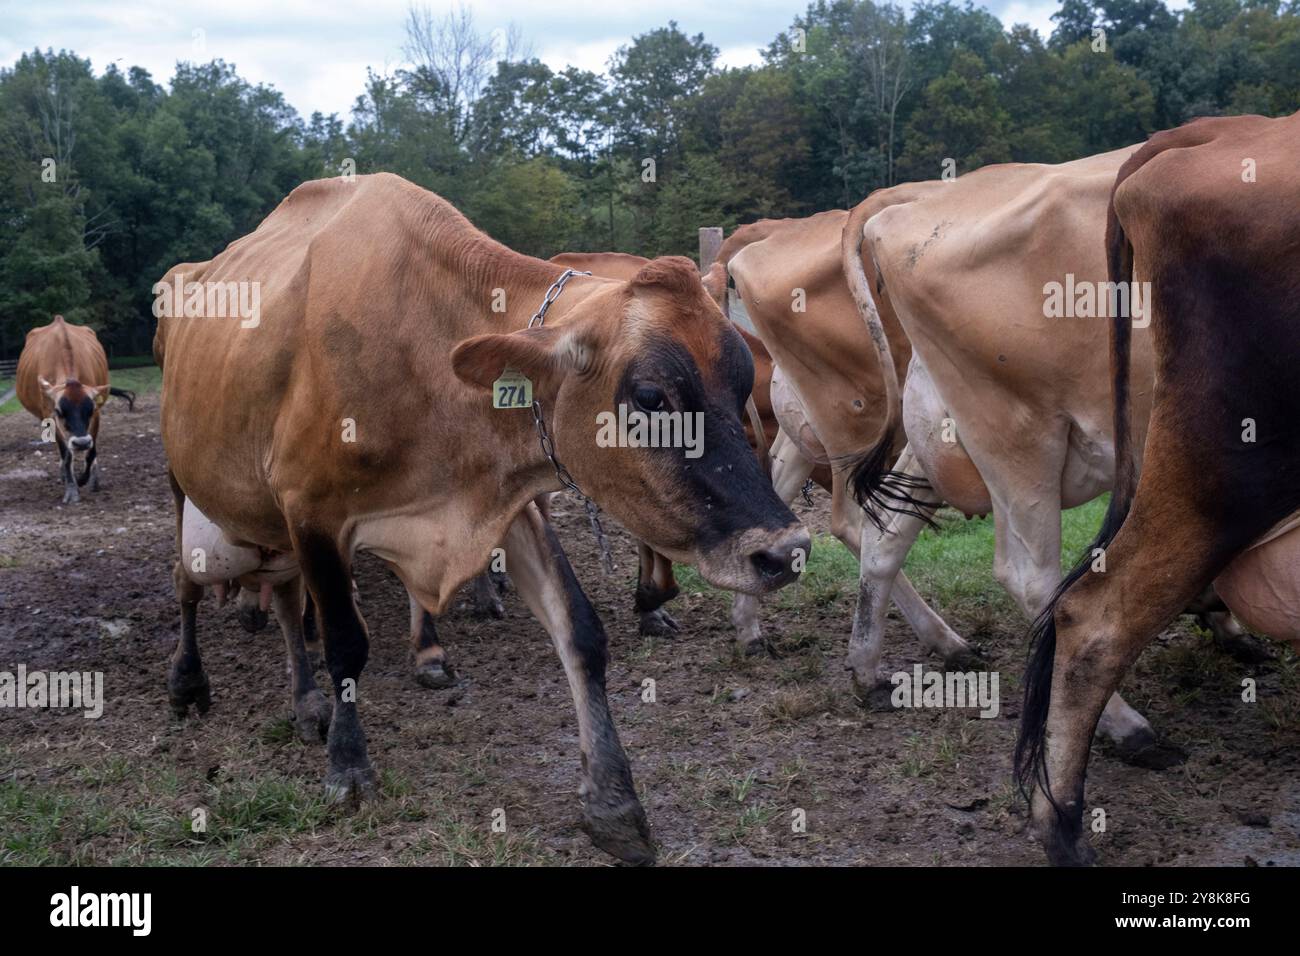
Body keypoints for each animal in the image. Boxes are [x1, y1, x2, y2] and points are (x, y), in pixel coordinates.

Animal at [16, 315, 113, 504]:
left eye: (90, 410)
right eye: (60, 411)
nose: (81, 443)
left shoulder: (96, 415)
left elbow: (91, 452)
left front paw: (84, 478)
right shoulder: (50, 415)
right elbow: (66, 453)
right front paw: (72, 489)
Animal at [154, 172, 809, 864]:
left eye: (742, 383)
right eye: (651, 396)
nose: (787, 548)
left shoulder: (506, 501)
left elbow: (580, 632)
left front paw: (613, 802)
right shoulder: (311, 510)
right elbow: (345, 643)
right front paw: (349, 769)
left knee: (281, 598)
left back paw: (306, 703)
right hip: (184, 482)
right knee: (188, 584)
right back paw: (189, 682)